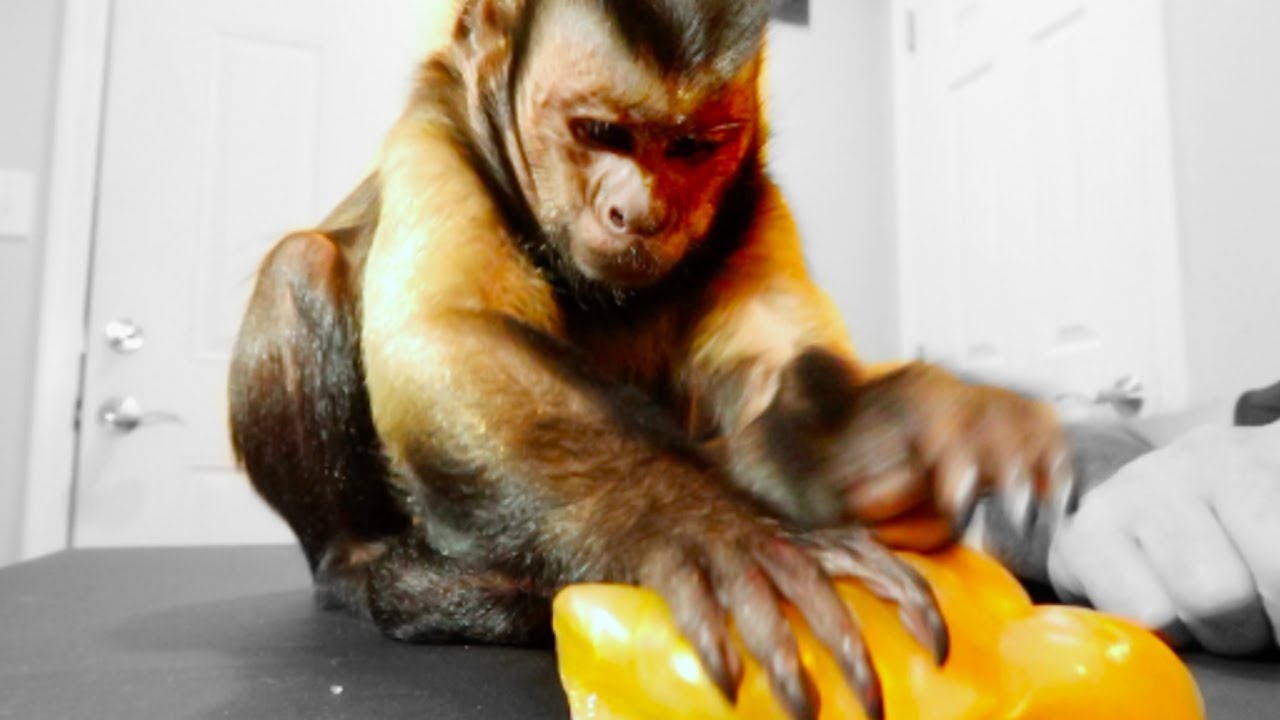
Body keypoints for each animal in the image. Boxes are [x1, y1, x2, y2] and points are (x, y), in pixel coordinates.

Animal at [228, 1, 1070, 718]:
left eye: (691, 147)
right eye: (601, 131)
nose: (637, 211)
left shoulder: (748, 199)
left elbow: (777, 360)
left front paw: (856, 441)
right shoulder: (437, 131)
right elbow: (448, 335)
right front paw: (695, 528)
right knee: (301, 265)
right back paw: (362, 562)